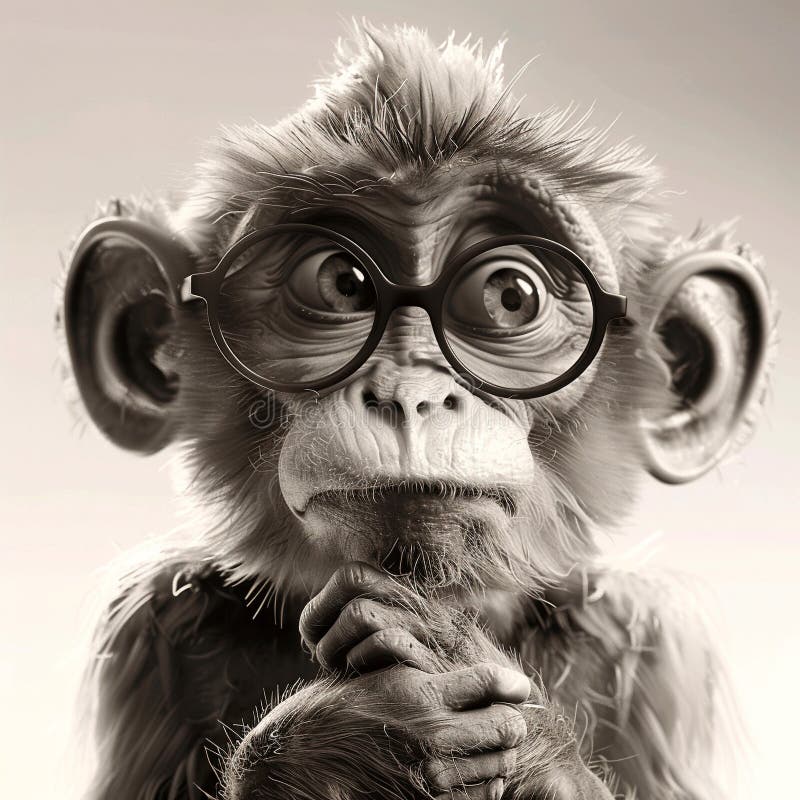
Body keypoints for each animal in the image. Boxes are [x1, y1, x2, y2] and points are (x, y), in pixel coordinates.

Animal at [59, 23, 775, 800]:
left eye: (510, 296)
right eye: (340, 282)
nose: (410, 394)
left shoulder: (654, 643)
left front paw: (501, 715)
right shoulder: (153, 625)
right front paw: (343, 741)